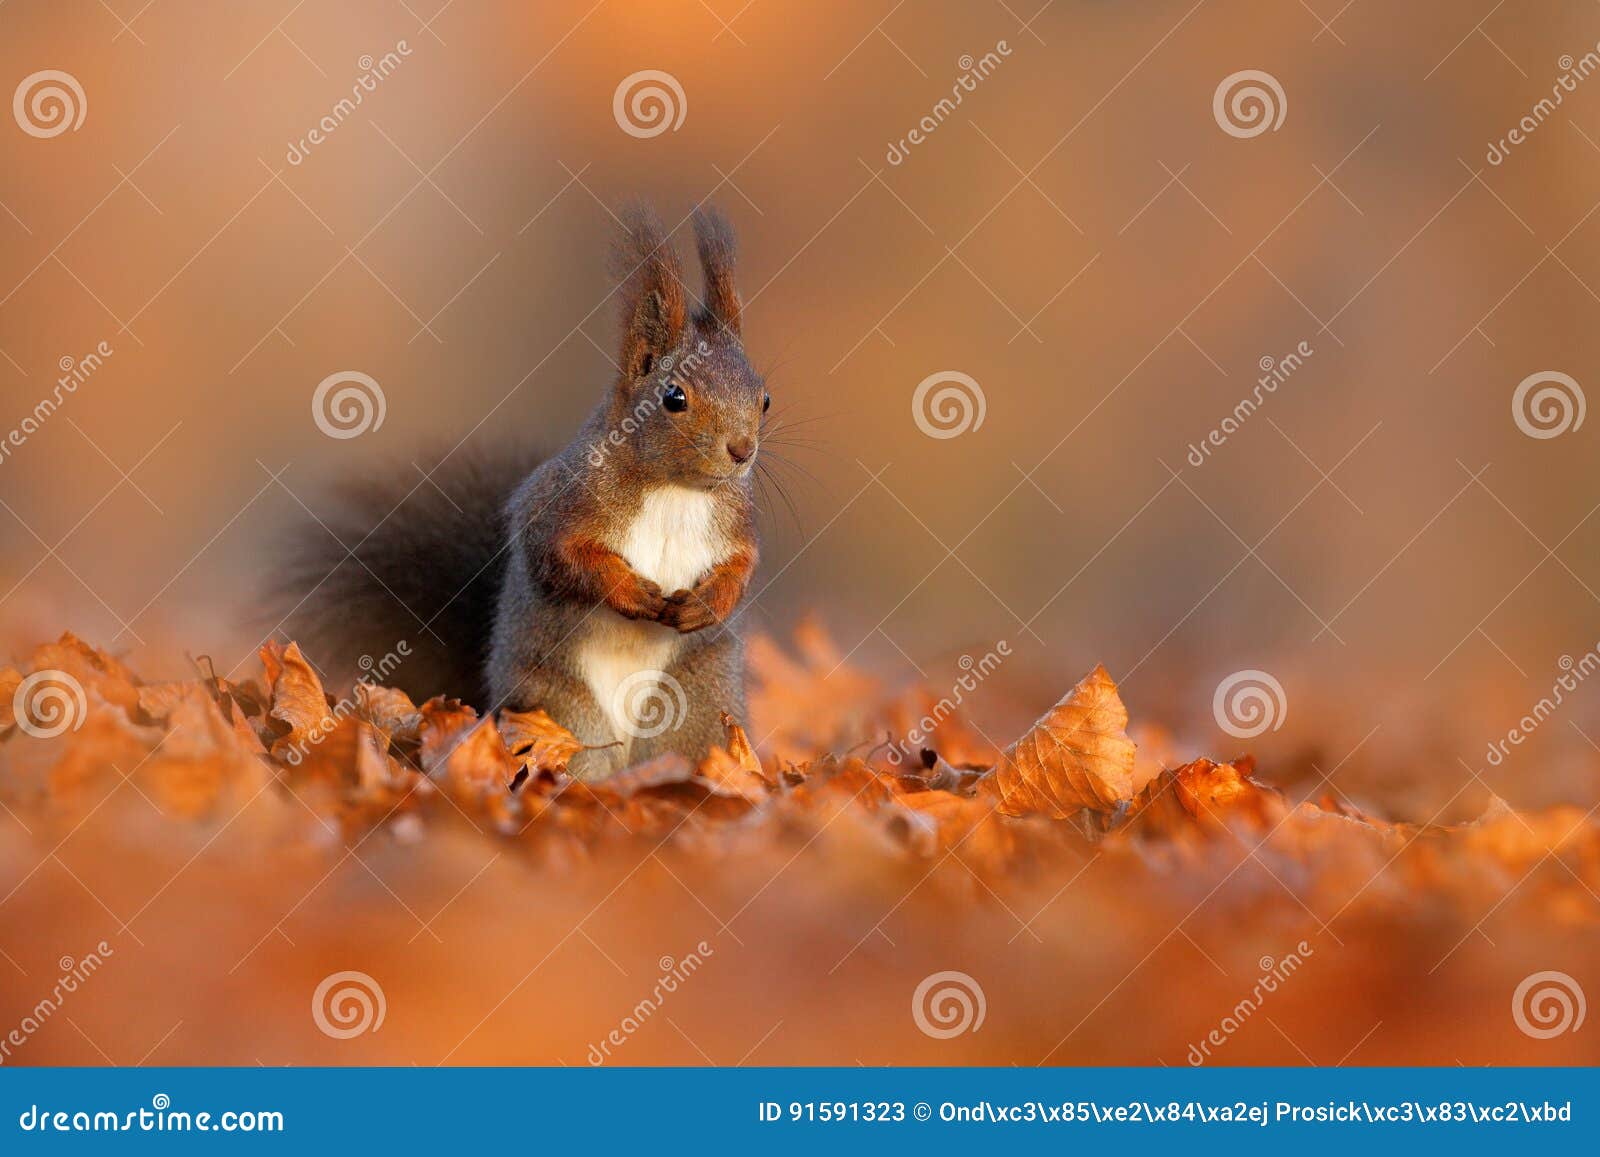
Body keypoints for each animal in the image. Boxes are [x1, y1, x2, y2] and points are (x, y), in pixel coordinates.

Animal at [279, 206, 766, 779]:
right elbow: (561, 555)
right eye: (674, 397)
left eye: (764, 399)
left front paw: (706, 605)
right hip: (562, 707)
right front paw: (631, 591)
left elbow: (742, 565)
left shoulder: (736, 522)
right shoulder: (559, 500)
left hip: (698, 704)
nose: (742, 450)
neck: (677, 490)